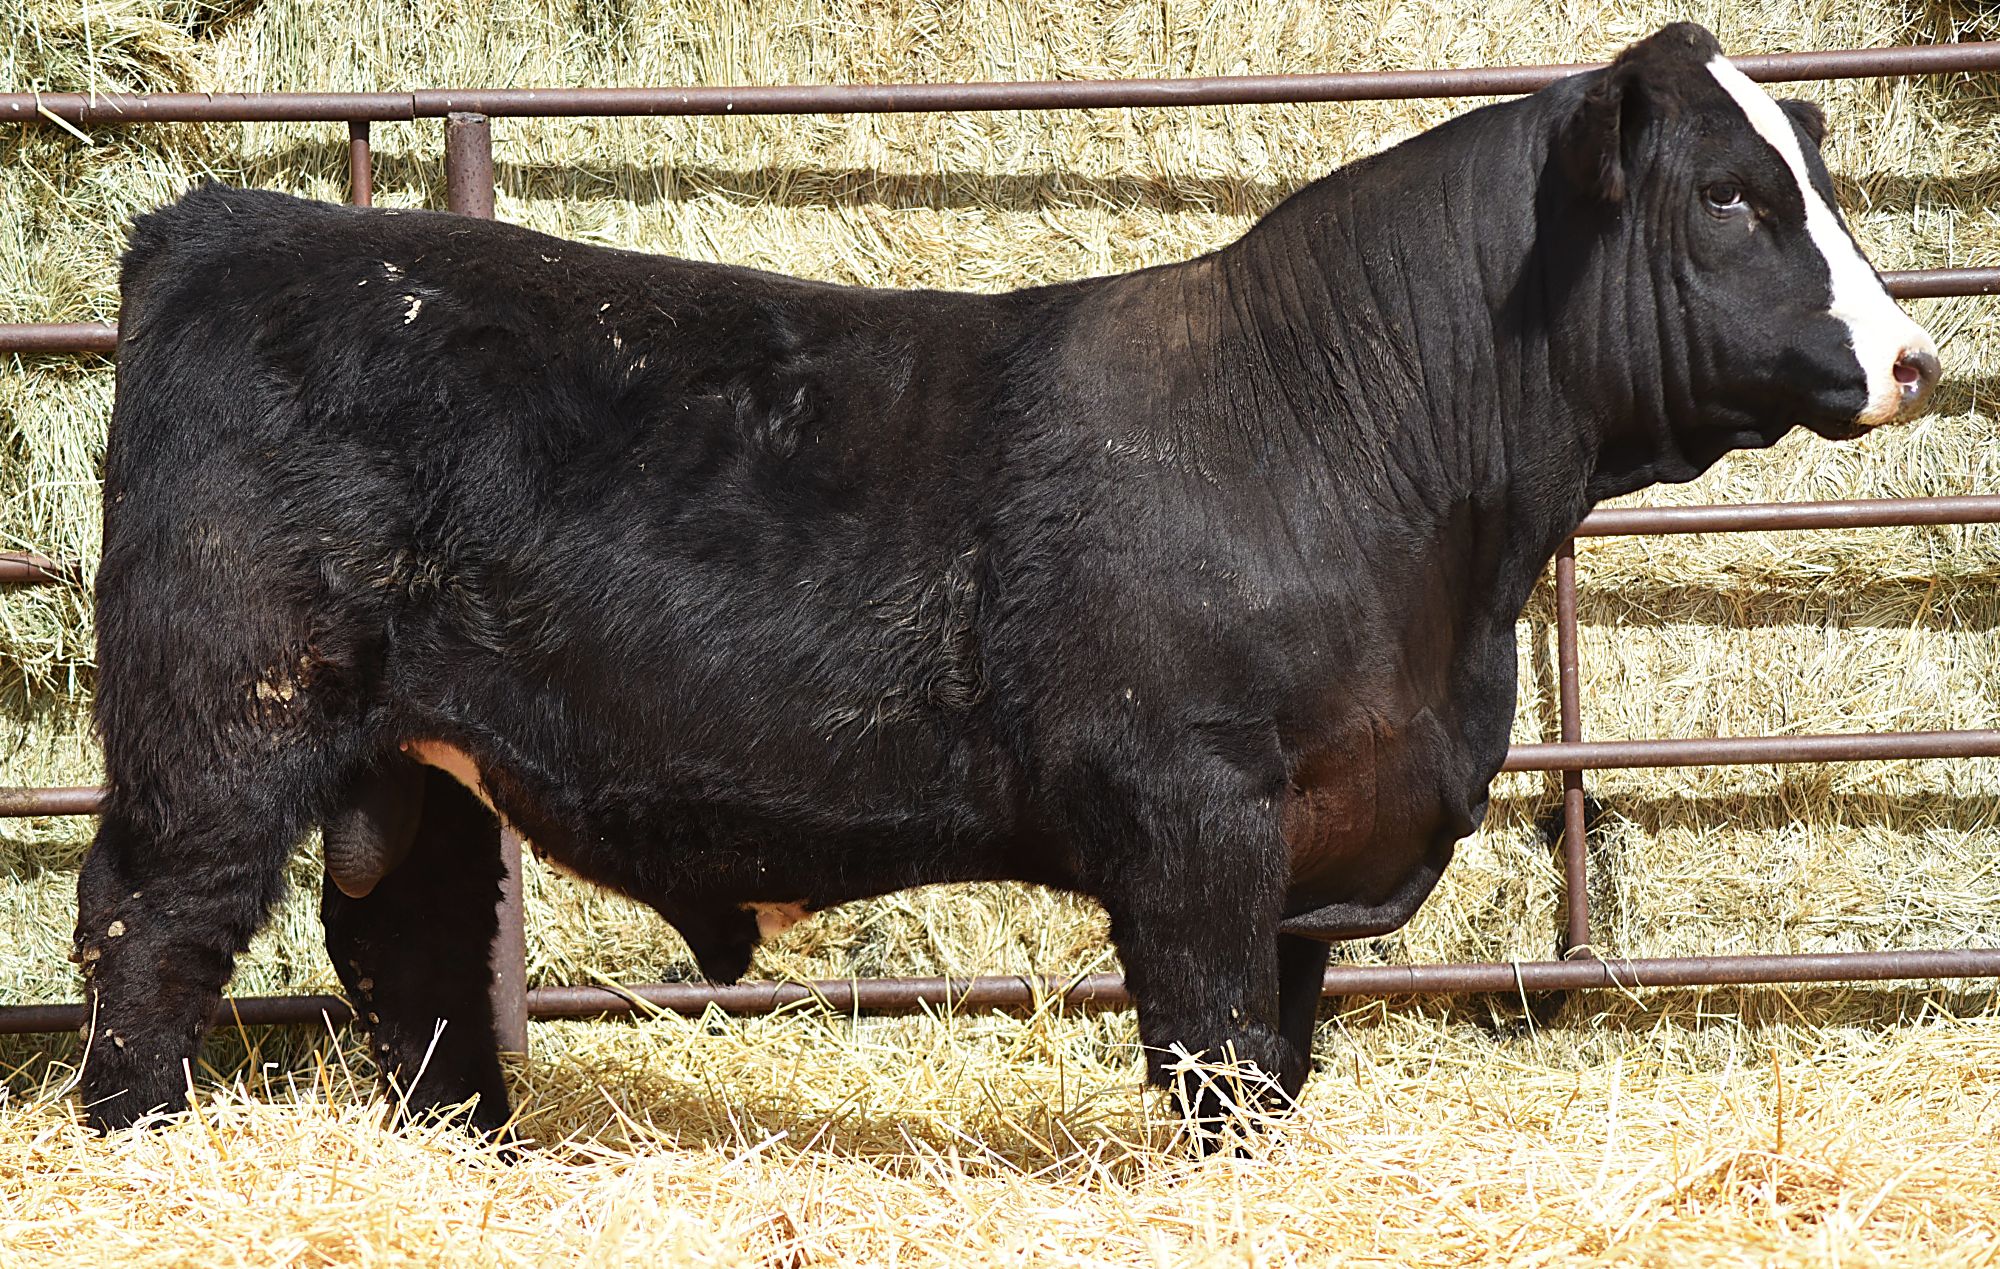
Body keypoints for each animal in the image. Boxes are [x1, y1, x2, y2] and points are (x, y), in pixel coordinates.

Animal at [75, 22, 1939, 1145]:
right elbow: (1208, 1042)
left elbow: (1275, 1052)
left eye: (1812, 176)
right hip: (220, 721)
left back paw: (475, 1150)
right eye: (1730, 196)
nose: (1917, 355)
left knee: (410, 940)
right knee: (149, 921)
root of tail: (230, 226)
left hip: (409, 758)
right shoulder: (1195, 813)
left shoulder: (1319, 836)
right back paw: (133, 1132)